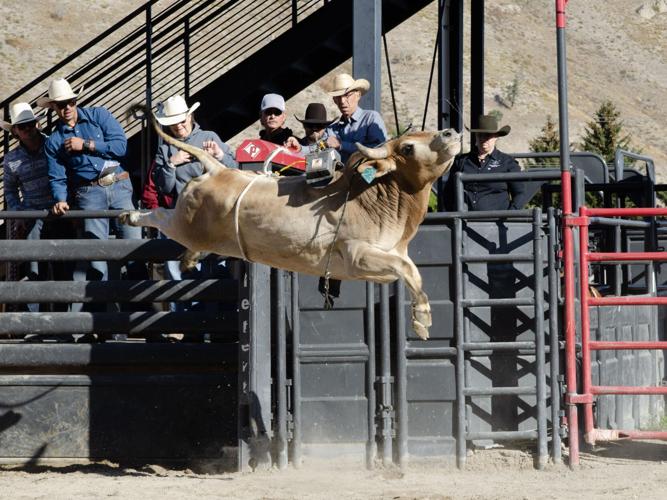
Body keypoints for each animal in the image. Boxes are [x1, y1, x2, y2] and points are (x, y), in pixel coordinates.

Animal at [120, 110, 461, 339]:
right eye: (407, 148)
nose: (451, 133)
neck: (371, 199)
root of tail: (217, 169)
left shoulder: (391, 256)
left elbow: (411, 271)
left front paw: (421, 317)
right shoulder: (357, 256)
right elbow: (406, 270)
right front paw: (422, 319)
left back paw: (190, 259)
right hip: (185, 221)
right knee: (159, 215)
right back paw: (131, 216)